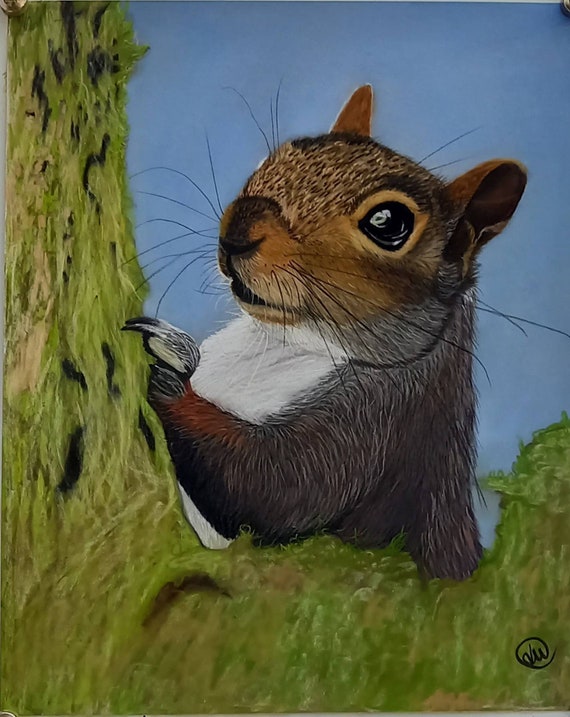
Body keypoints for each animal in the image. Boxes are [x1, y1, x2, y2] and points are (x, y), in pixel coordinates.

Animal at [123, 85, 527, 581]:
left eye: (389, 221)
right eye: (275, 156)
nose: (237, 231)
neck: (289, 339)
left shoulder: (378, 422)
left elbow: (279, 487)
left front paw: (171, 372)